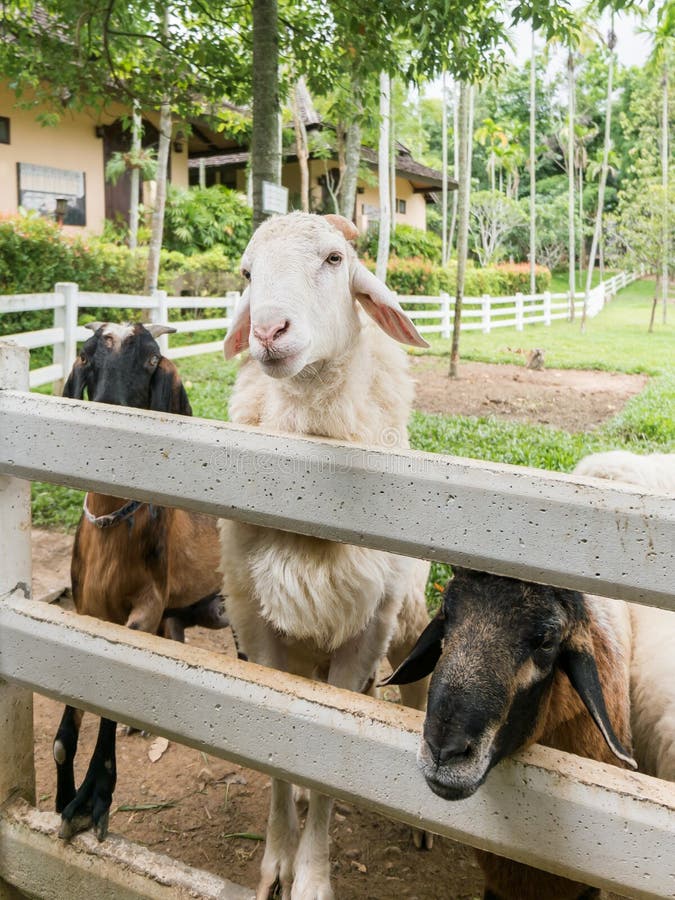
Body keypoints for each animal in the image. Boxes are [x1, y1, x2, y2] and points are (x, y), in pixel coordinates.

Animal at [55, 322, 228, 841]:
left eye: (152, 360)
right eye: (86, 357)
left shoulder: (145, 607)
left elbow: (112, 702)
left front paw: (93, 800)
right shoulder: (86, 612)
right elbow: (66, 732)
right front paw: (64, 798)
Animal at [219, 211, 433, 899]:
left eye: (335, 259)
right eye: (247, 274)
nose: (268, 331)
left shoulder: (365, 631)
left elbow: (329, 764)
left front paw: (310, 874)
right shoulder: (256, 624)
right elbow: (281, 751)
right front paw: (275, 863)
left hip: (407, 619)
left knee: (417, 693)